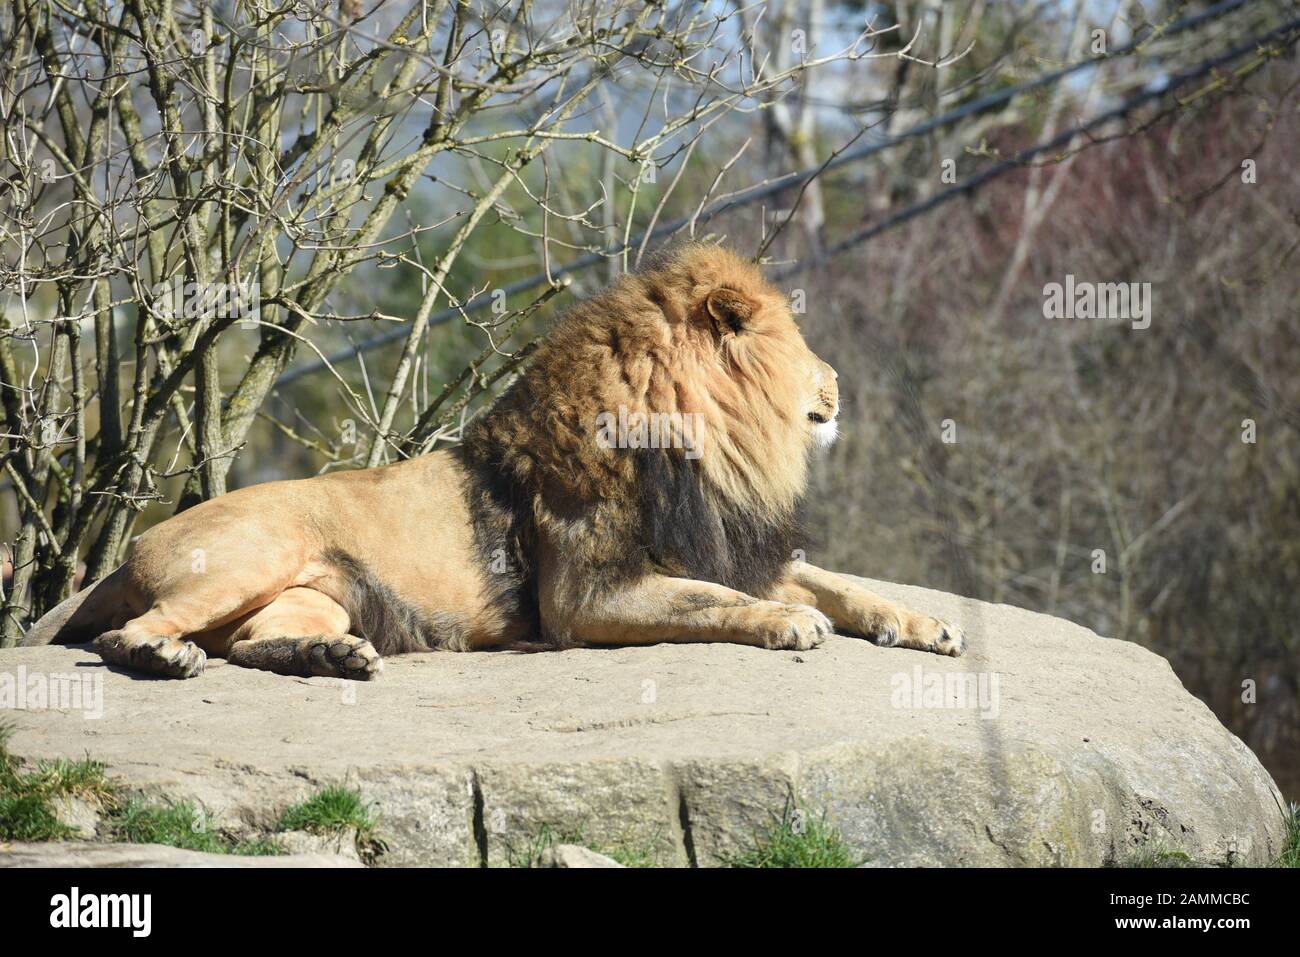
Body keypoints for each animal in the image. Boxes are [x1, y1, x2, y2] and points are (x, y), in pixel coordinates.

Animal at [21, 244, 965, 678]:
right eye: (800, 345)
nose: (838, 383)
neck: (702, 450)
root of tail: (134, 547)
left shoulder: (728, 546)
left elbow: (838, 582)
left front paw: (923, 623)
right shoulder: (588, 597)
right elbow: (719, 601)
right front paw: (786, 623)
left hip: (316, 594)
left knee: (252, 643)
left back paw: (335, 658)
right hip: (250, 553)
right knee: (128, 632)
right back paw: (166, 658)